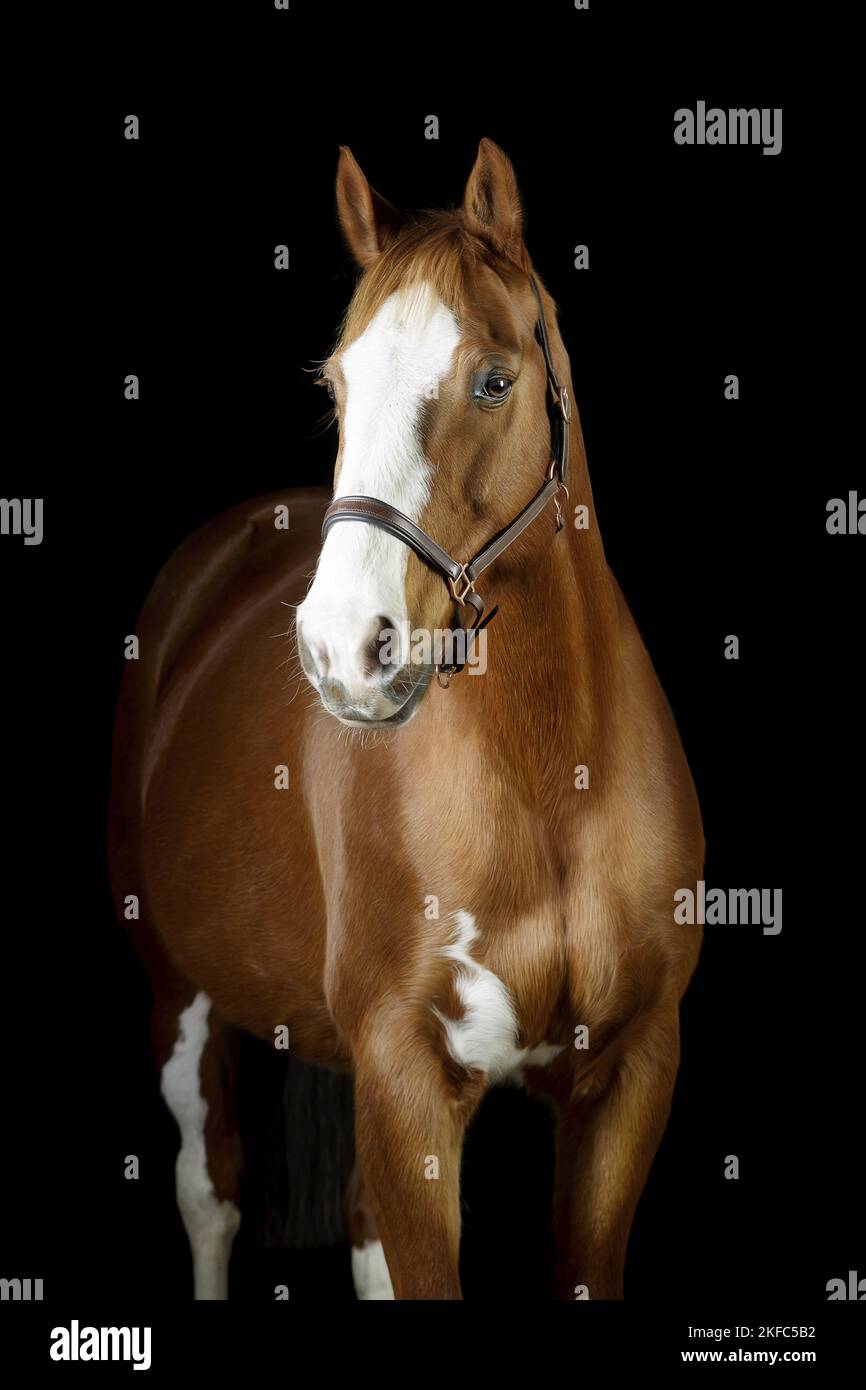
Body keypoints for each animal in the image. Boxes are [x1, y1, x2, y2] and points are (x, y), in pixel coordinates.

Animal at [108, 138, 704, 1301]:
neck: (548, 786)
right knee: (210, 1196)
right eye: (337, 382)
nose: (345, 648)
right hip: (177, 999)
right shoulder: (406, 1077)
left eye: (492, 380)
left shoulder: (630, 1077)